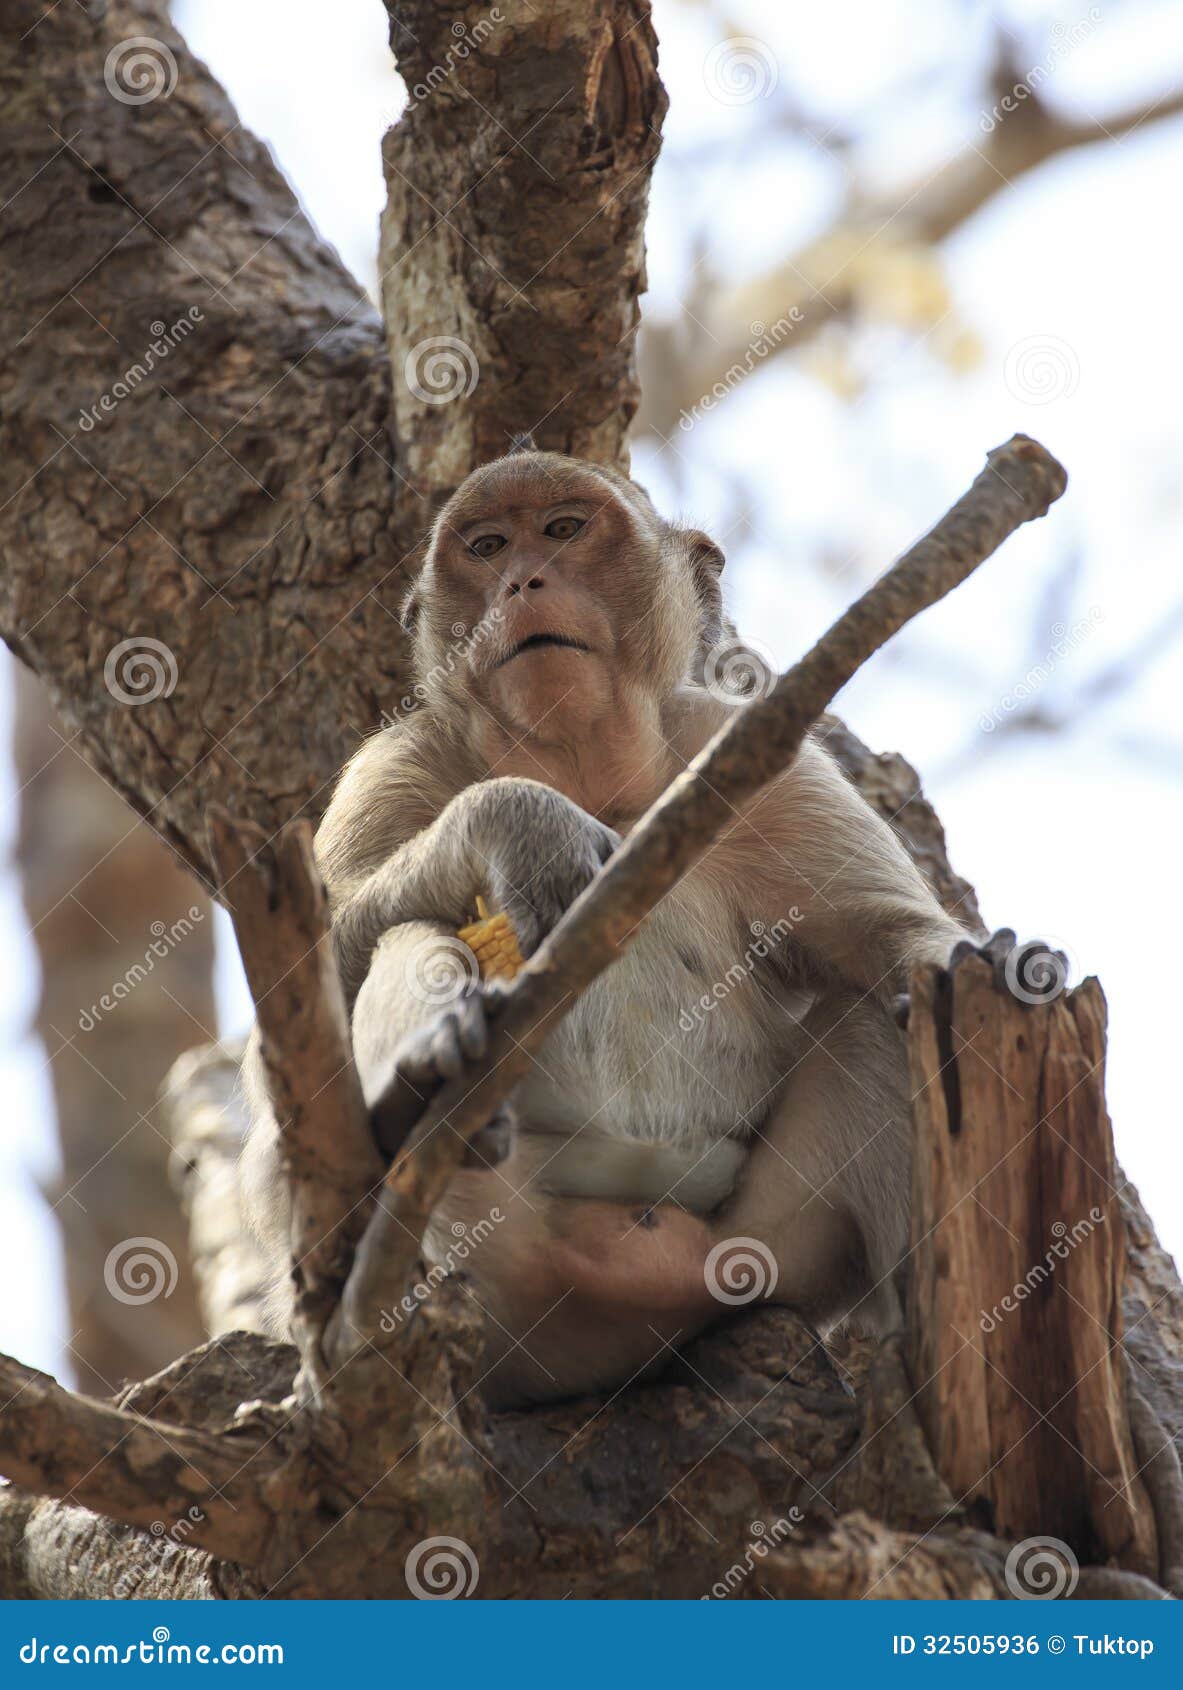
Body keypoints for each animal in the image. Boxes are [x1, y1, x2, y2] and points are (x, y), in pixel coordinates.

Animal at [240, 447, 971, 1409]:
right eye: (485, 546)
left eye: (562, 530)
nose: (523, 580)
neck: (584, 771)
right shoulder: (393, 761)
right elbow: (292, 1001)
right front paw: (522, 823)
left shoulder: (746, 748)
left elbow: (884, 935)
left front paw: (996, 965)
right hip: (481, 1274)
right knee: (405, 942)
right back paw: (418, 1082)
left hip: (769, 1250)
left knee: (877, 1014)